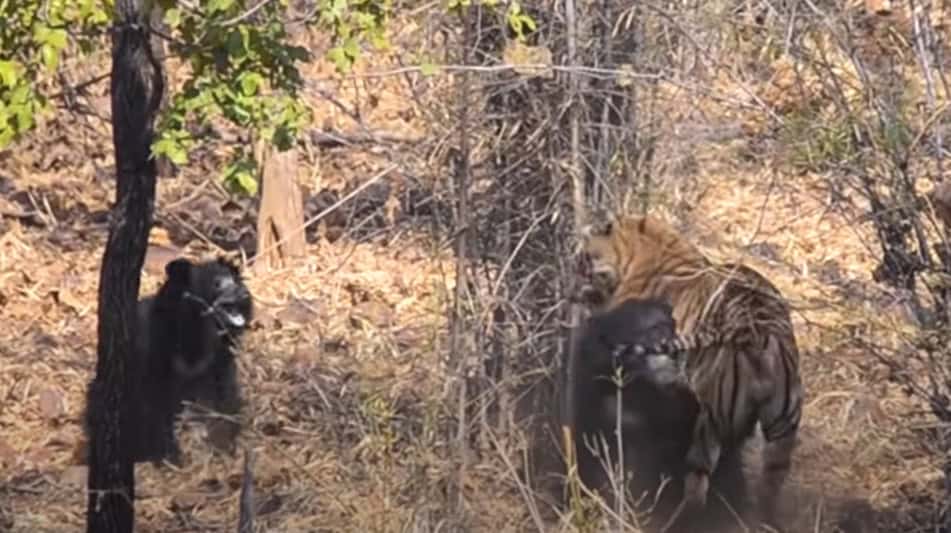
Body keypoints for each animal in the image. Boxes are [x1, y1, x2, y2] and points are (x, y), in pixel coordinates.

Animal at [575, 211, 804, 528]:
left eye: (584, 256)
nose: (575, 273)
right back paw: (764, 520)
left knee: (697, 486)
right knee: (770, 485)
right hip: (784, 424)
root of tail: (755, 332)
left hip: (709, 423)